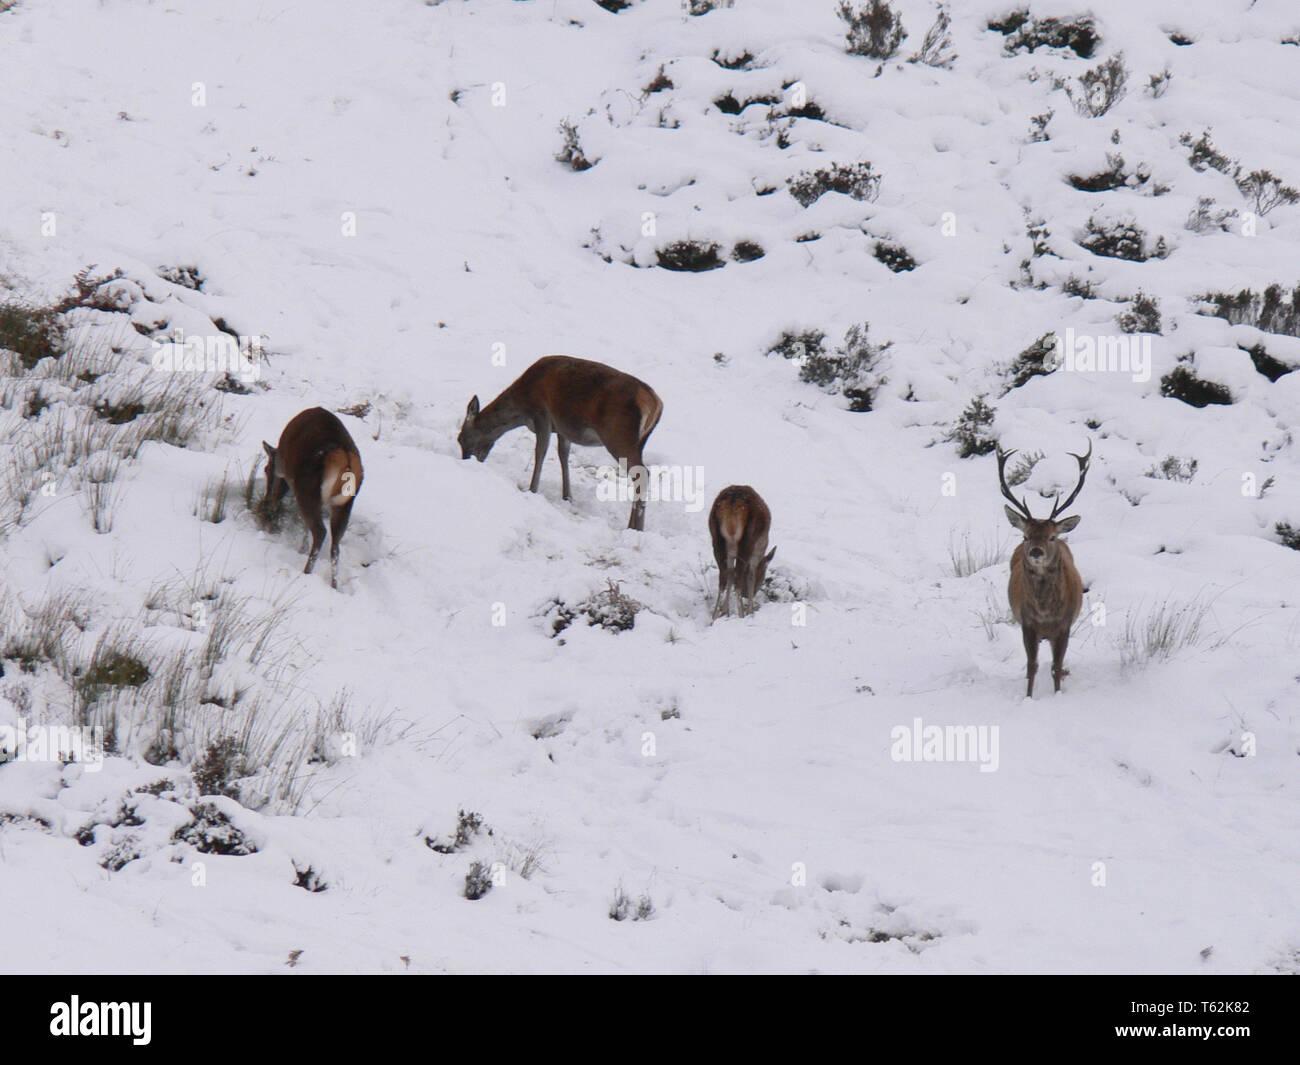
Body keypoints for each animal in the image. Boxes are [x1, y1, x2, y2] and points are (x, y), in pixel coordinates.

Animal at [263, 407, 364, 589]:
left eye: (266, 469)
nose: (264, 499)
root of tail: (346, 464)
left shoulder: (283, 472)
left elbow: (277, 496)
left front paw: (270, 524)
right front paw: (301, 546)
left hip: (307, 490)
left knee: (320, 531)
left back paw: (306, 572)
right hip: (345, 504)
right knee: (335, 546)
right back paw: (334, 585)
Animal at [457, 355, 663, 531]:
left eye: (461, 438)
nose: (465, 460)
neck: (522, 407)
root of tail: (655, 403)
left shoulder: (541, 414)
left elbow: (540, 452)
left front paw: (532, 490)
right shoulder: (563, 429)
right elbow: (563, 455)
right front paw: (567, 496)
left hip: (618, 436)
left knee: (641, 473)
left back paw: (635, 527)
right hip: (637, 442)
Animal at [709, 485, 776, 620]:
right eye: (763, 576)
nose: (747, 594)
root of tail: (732, 501)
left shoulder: (730, 553)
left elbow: (730, 573)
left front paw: (725, 611)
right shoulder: (757, 550)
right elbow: (750, 575)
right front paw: (751, 611)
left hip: (716, 538)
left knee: (723, 578)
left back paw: (714, 617)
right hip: (747, 541)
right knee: (737, 580)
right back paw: (741, 615)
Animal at [997, 442, 1091, 697]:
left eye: (1051, 537)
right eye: (1026, 535)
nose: (1036, 552)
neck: (1045, 613)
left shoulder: (1064, 626)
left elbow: (1056, 667)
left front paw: (1057, 694)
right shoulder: (1027, 625)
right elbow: (1033, 666)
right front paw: (1028, 696)